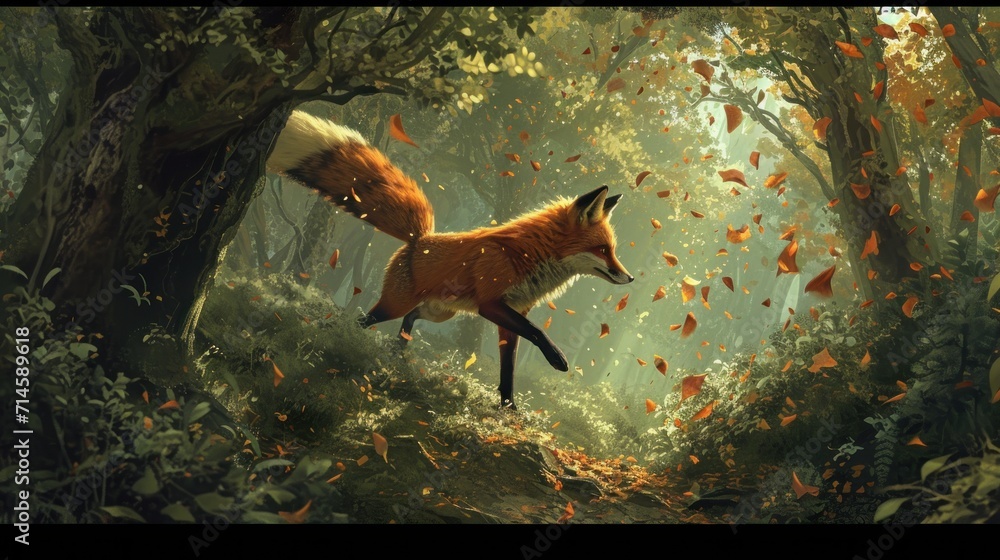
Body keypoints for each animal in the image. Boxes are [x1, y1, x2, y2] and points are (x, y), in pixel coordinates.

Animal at [267, 110, 633, 409]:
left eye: (613, 250)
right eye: (603, 249)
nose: (628, 278)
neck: (527, 256)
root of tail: (419, 238)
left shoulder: (513, 315)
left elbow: (509, 370)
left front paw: (509, 409)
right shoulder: (491, 305)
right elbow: (538, 333)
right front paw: (557, 359)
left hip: (440, 312)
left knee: (409, 320)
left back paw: (399, 354)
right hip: (398, 303)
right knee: (365, 318)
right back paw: (328, 332)